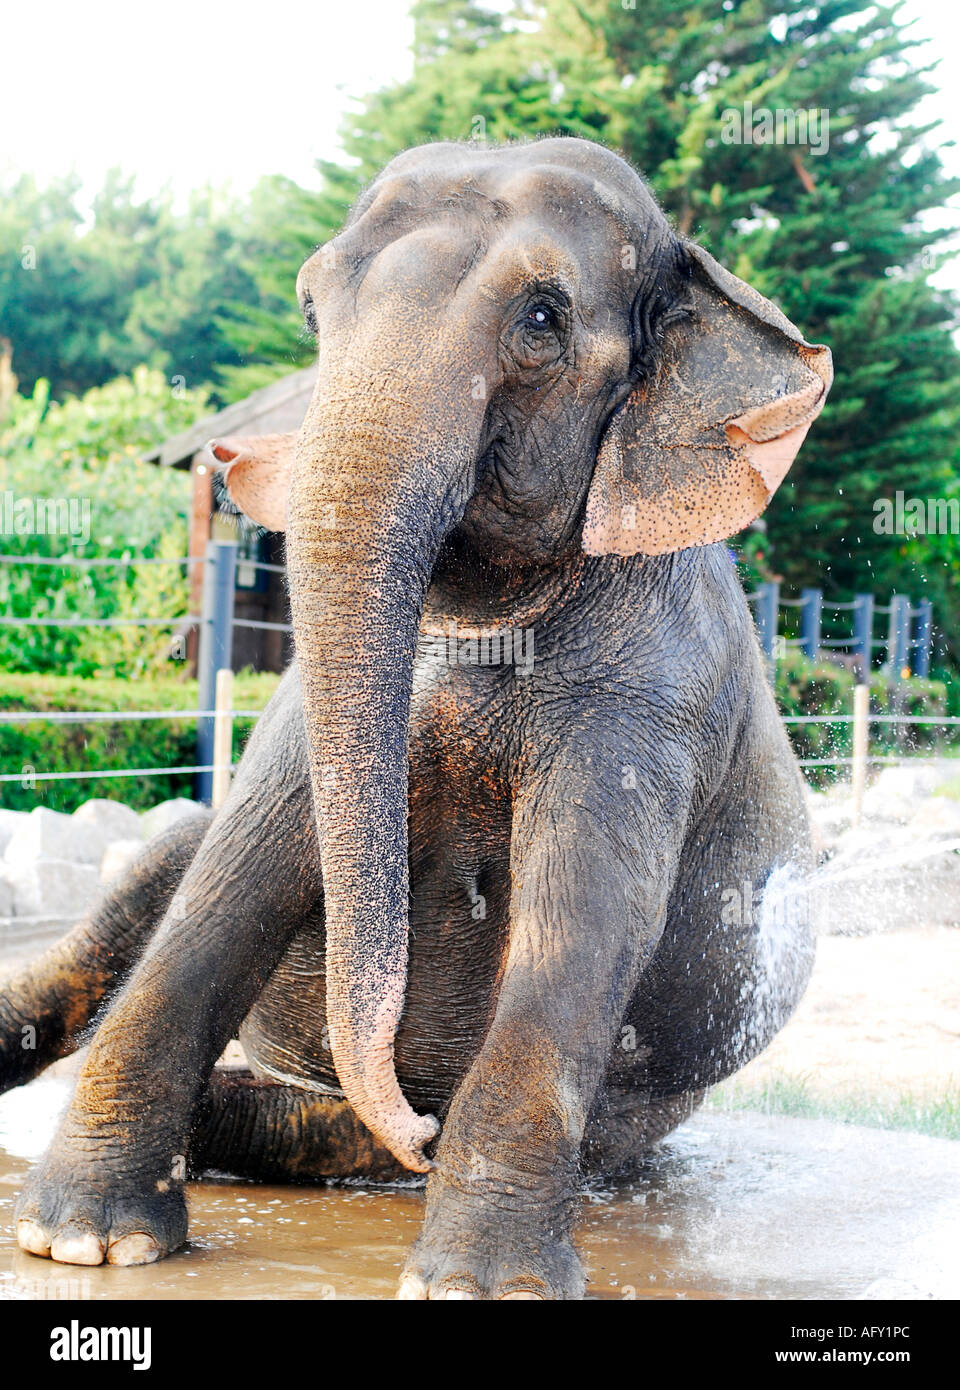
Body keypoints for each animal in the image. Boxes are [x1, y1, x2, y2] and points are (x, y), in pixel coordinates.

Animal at [1, 136, 832, 1299]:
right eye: (310, 307)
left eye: (542, 318)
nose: (418, 1126)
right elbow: (245, 858)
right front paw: (83, 1241)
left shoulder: (654, 696)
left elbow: (586, 910)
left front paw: (479, 1285)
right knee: (145, 885)